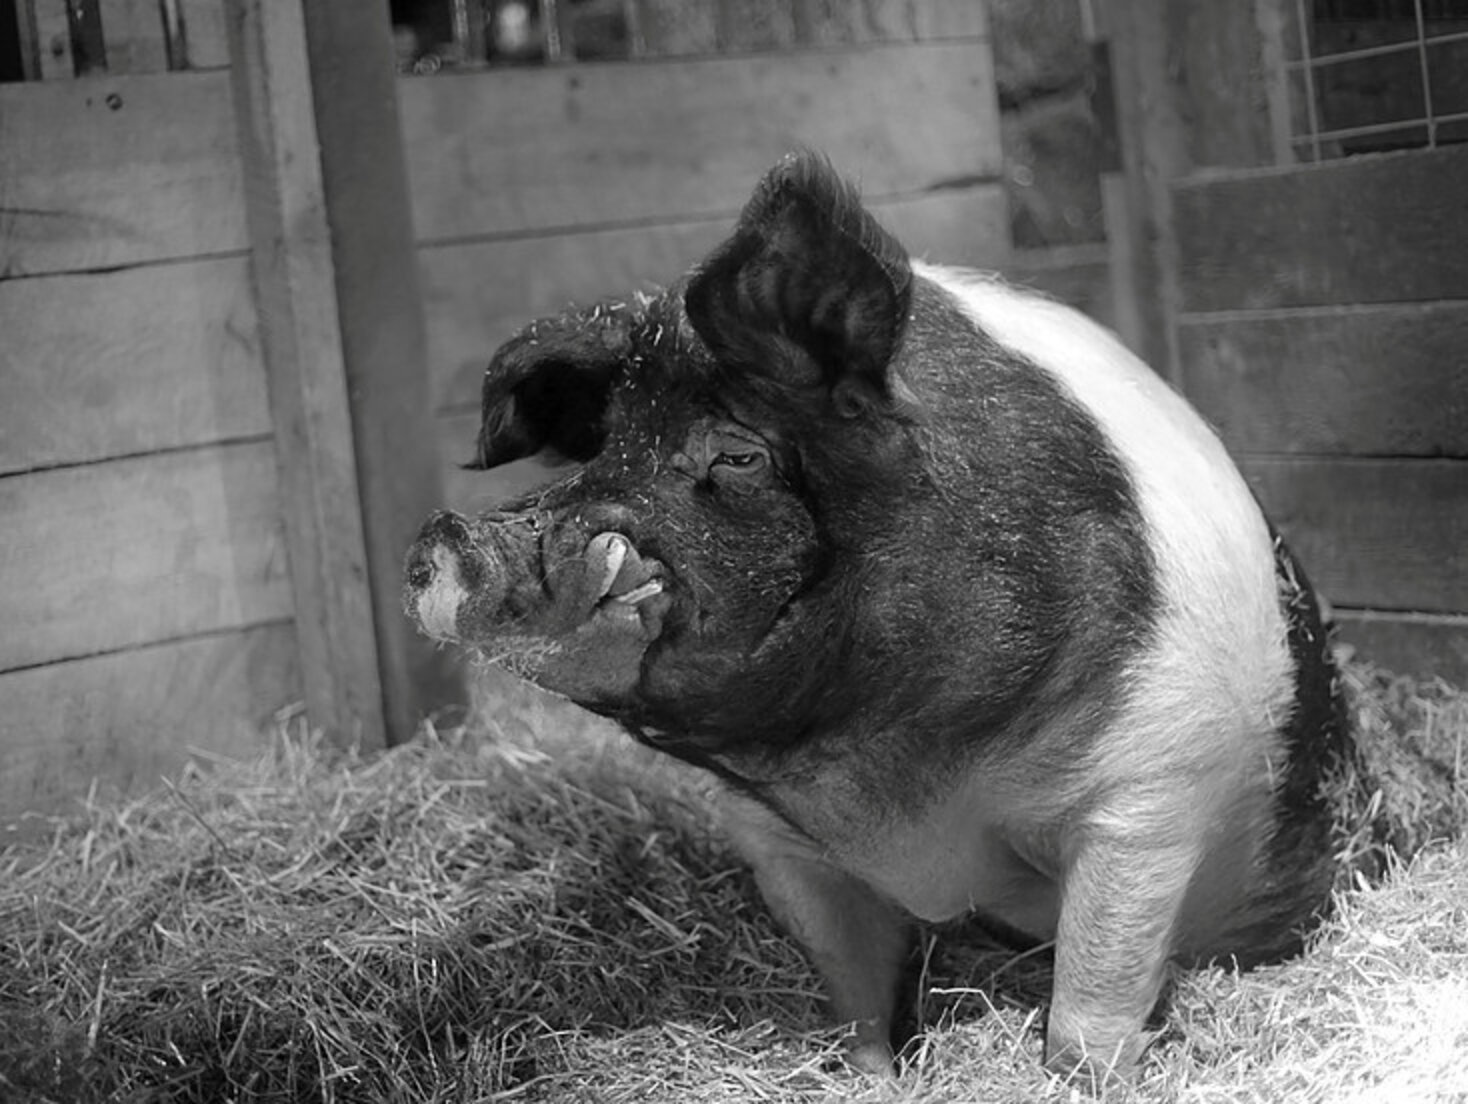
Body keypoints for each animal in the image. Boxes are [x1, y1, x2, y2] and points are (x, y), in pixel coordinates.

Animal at [404, 152, 1348, 1085]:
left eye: (737, 455)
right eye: (602, 448)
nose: (443, 540)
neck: (889, 801)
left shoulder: (1153, 790)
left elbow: (1094, 994)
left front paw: (1081, 1080)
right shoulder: (776, 842)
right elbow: (849, 985)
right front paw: (869, 1075)